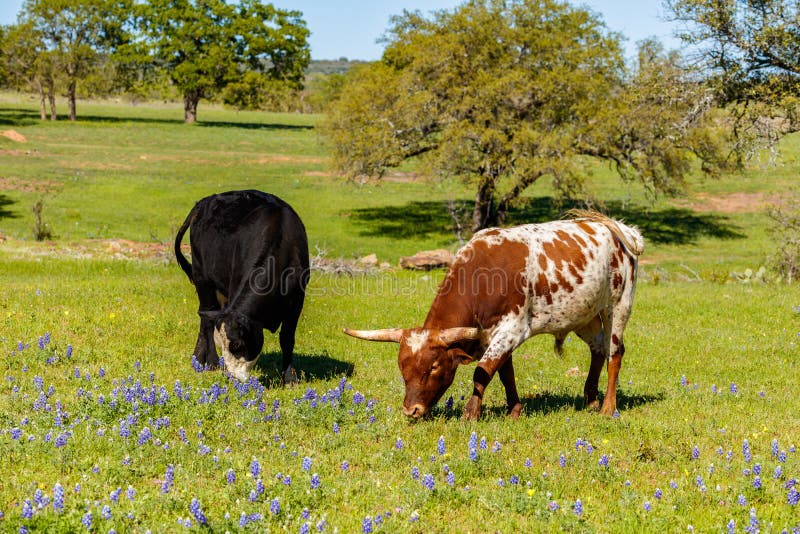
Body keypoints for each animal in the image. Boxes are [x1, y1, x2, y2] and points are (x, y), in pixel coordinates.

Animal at [174, 190, 309, 384]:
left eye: (237, 344)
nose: (231, 378)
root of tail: (204, 202)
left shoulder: (297, 299)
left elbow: (287, 338)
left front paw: (290, 378)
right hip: (202, 279)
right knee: (206, 320)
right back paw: (207, 361)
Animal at [345, 211, 644, 420]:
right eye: (402, 367)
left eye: (434, 367)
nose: (412, 410)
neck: (483, 276)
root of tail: (620, 229)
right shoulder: (495, 336)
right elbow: (505, 373)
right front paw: (515, 409)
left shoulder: (511, 330)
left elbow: (482, 371)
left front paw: (471, 414)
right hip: (584, 315)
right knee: (598, 349)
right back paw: (591, 399)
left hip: (618, 305)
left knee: (615, 353)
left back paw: (607, 408)